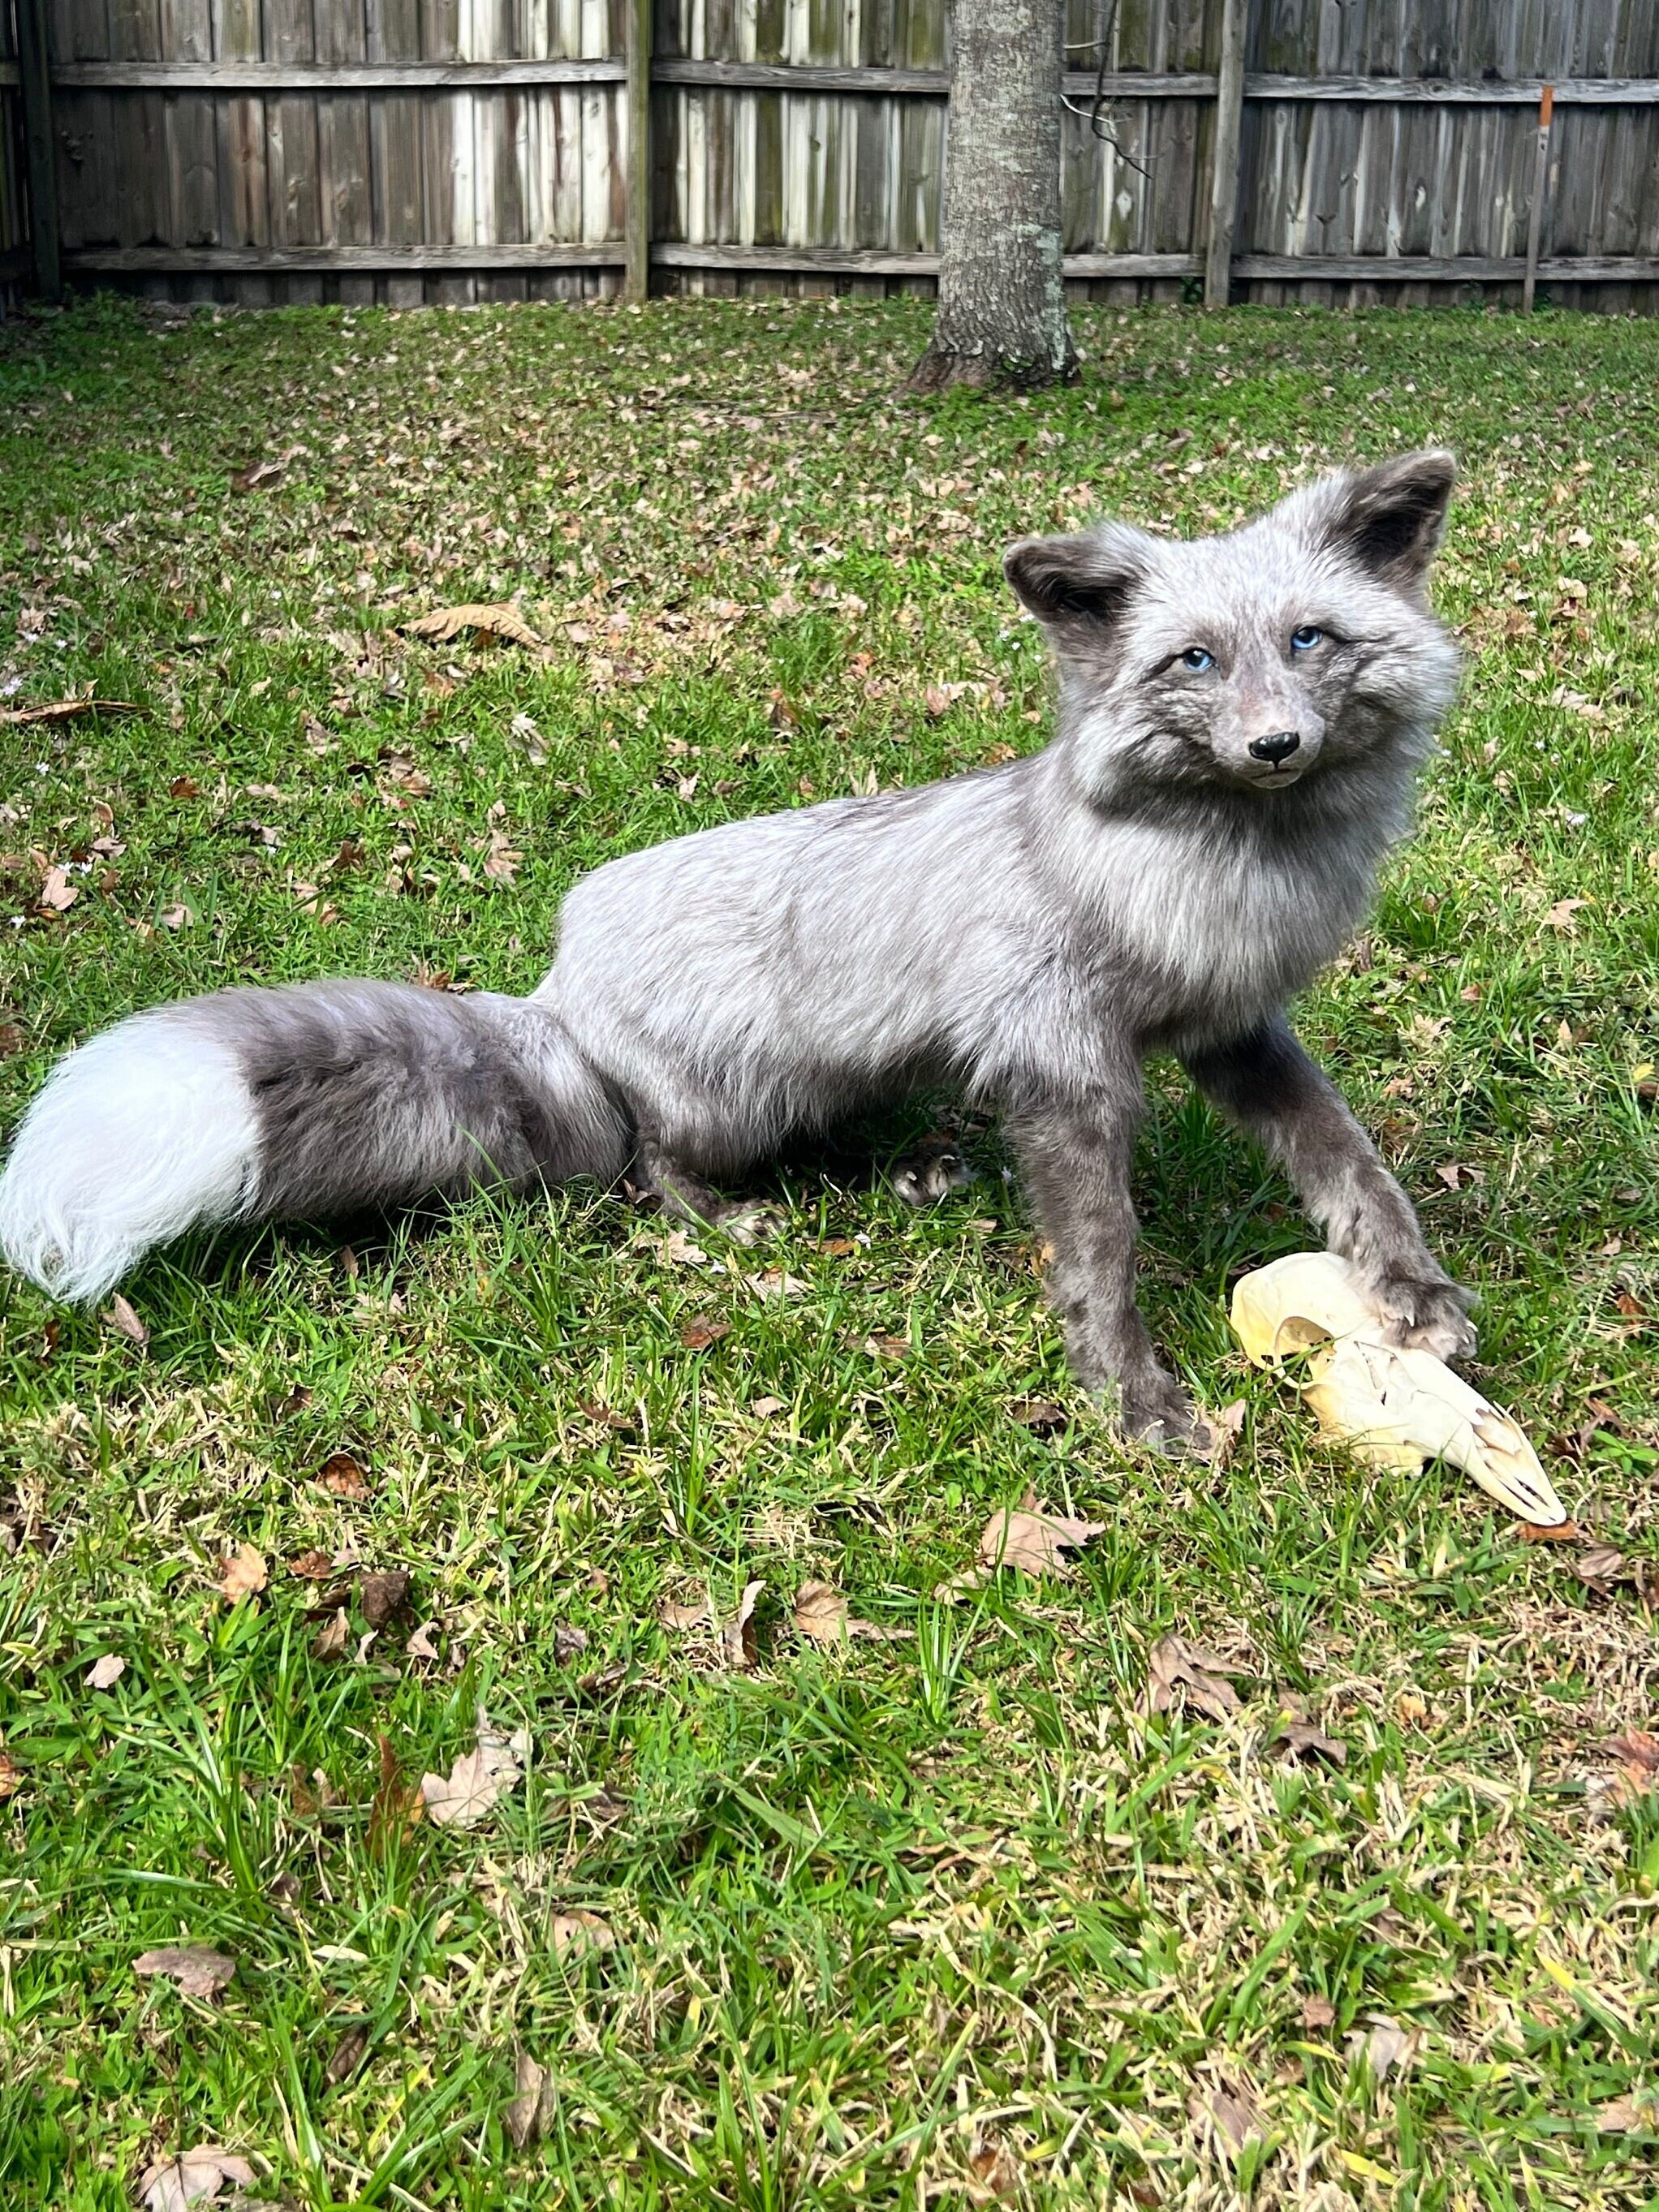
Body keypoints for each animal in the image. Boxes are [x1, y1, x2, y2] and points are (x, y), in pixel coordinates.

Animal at [0, 450, 1475, 1450]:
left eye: (1308, 640)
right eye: (1191, 662)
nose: (1273, 746)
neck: (1206, 877)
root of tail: (556, 986)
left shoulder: (1234, 1033)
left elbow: (1349, 1163)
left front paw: (1407, 1292)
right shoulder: (1063, 1066)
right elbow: (1100, 1253)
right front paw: (1134, 1398)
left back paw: (912, 1175)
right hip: (733, 1101)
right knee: (642, 1168)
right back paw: (725, 1225)